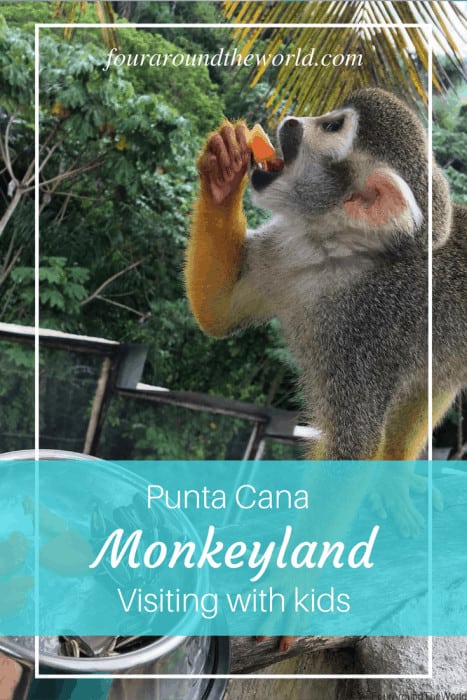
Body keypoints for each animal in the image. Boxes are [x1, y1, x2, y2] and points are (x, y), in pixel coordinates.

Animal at [184, 88, 467, 650]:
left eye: (331, 126)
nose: (292, 121)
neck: (334, 255)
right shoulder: (283, 251)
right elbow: (218, 313)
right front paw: (223, 175)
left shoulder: (369, 328)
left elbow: (352, 444)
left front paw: (291, 586)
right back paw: (396, 475)